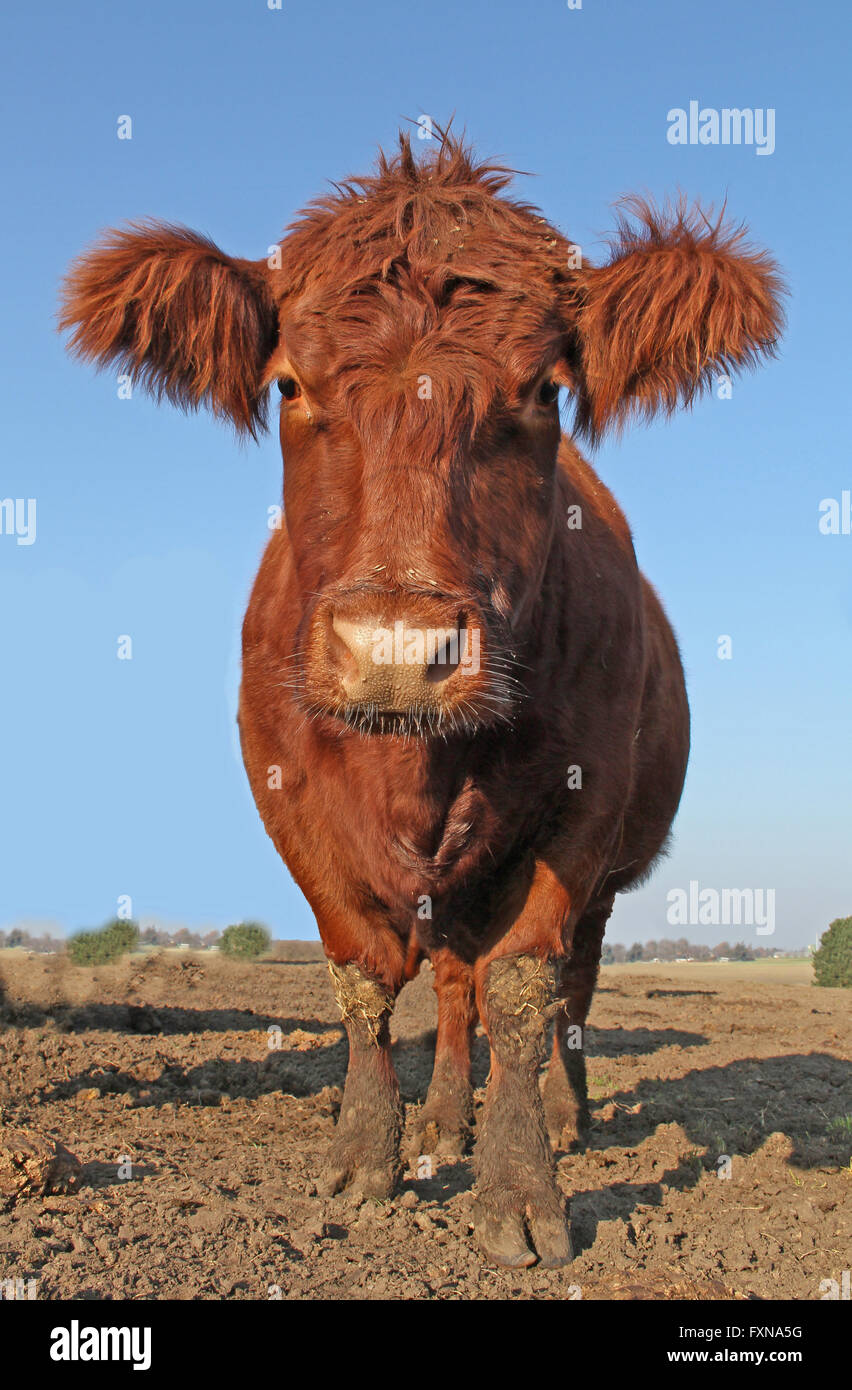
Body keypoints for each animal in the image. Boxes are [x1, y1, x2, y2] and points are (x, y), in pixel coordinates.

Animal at [60, 132, 783, 1268]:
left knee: (568, 984)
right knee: (449, 986)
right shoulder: (288, 797)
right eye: (288, 383)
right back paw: (445, 1116)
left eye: (544, 389)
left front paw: (522, 1189)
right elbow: (363, 979)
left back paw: (566, 1113)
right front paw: (368, 1157)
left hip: (604, 877)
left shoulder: (582, 807)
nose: (399, 648)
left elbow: (526, 986)